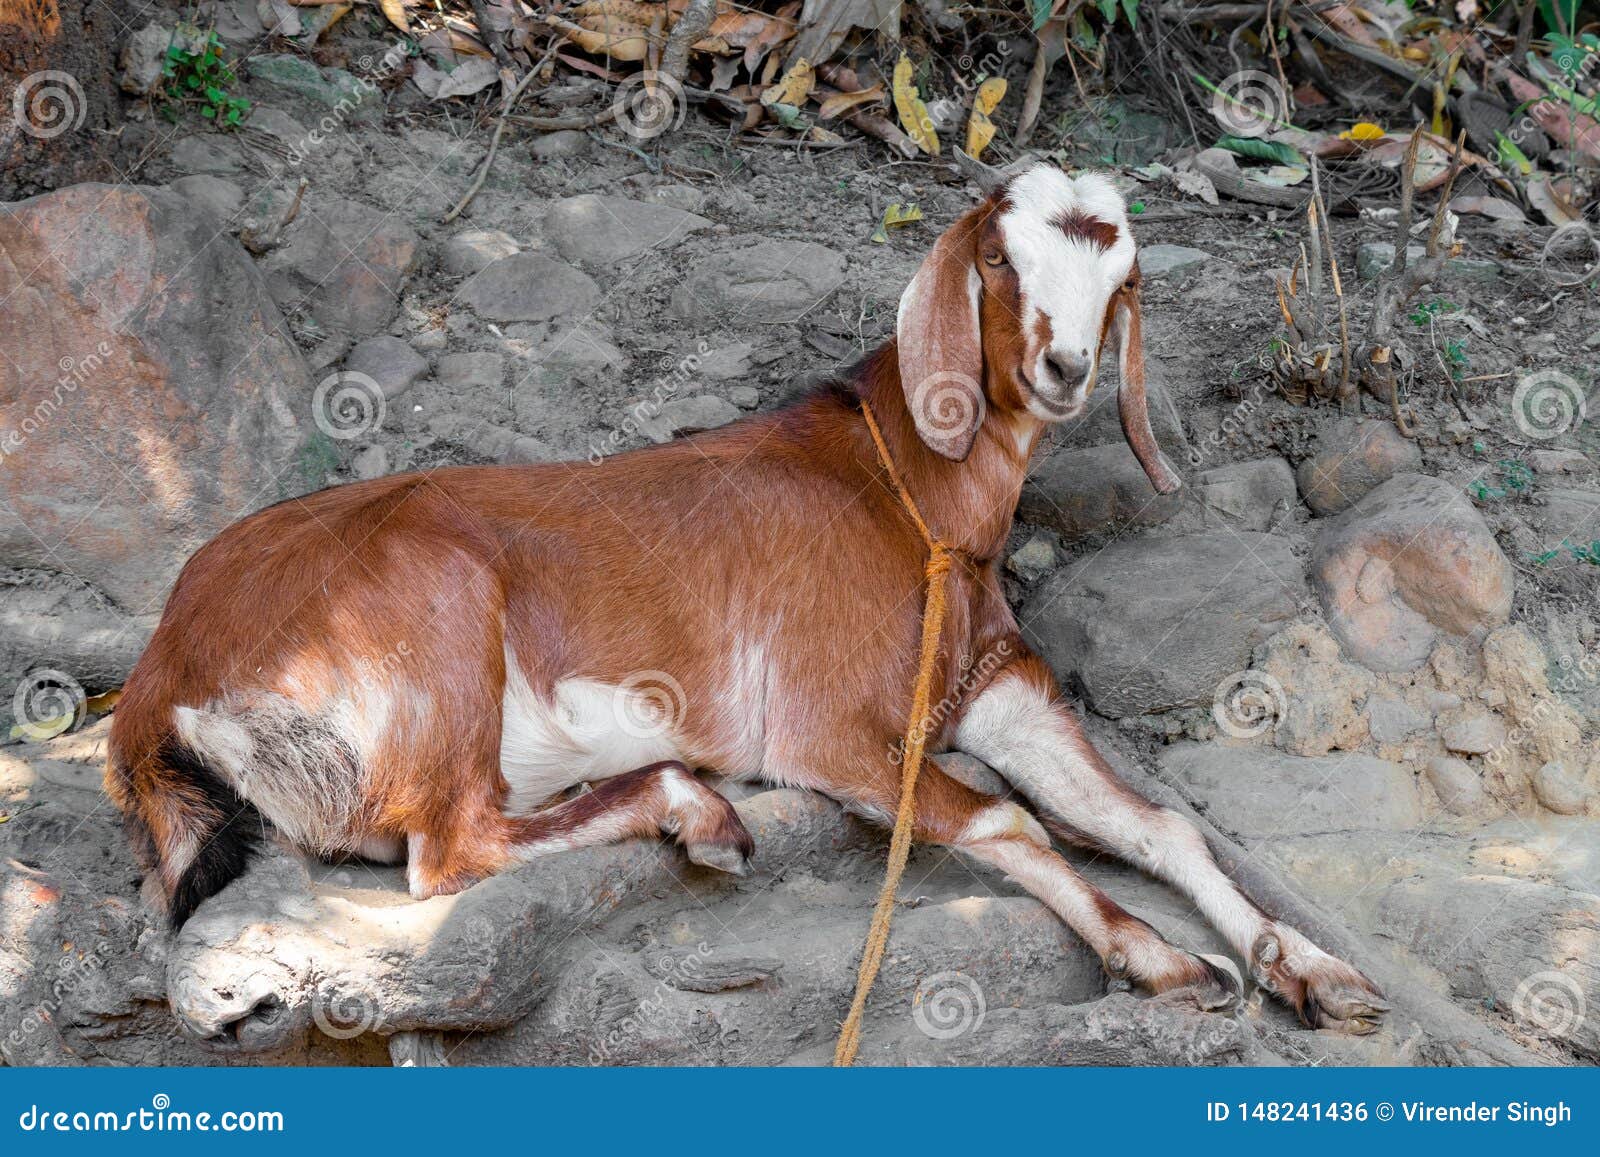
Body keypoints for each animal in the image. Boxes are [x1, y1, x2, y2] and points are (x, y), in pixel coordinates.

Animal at [106, 154, 1387, 1034]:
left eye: (1116, 276)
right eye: (998, 260)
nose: (1064, 368)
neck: (907, 493)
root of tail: (160, 683)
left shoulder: (991, 690)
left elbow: (1155, 822)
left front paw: (1314, 968)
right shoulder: (827, 729)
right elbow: (1001, 819)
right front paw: (1164, 959)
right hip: (440, 608)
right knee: (451, 847)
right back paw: (699, 812)